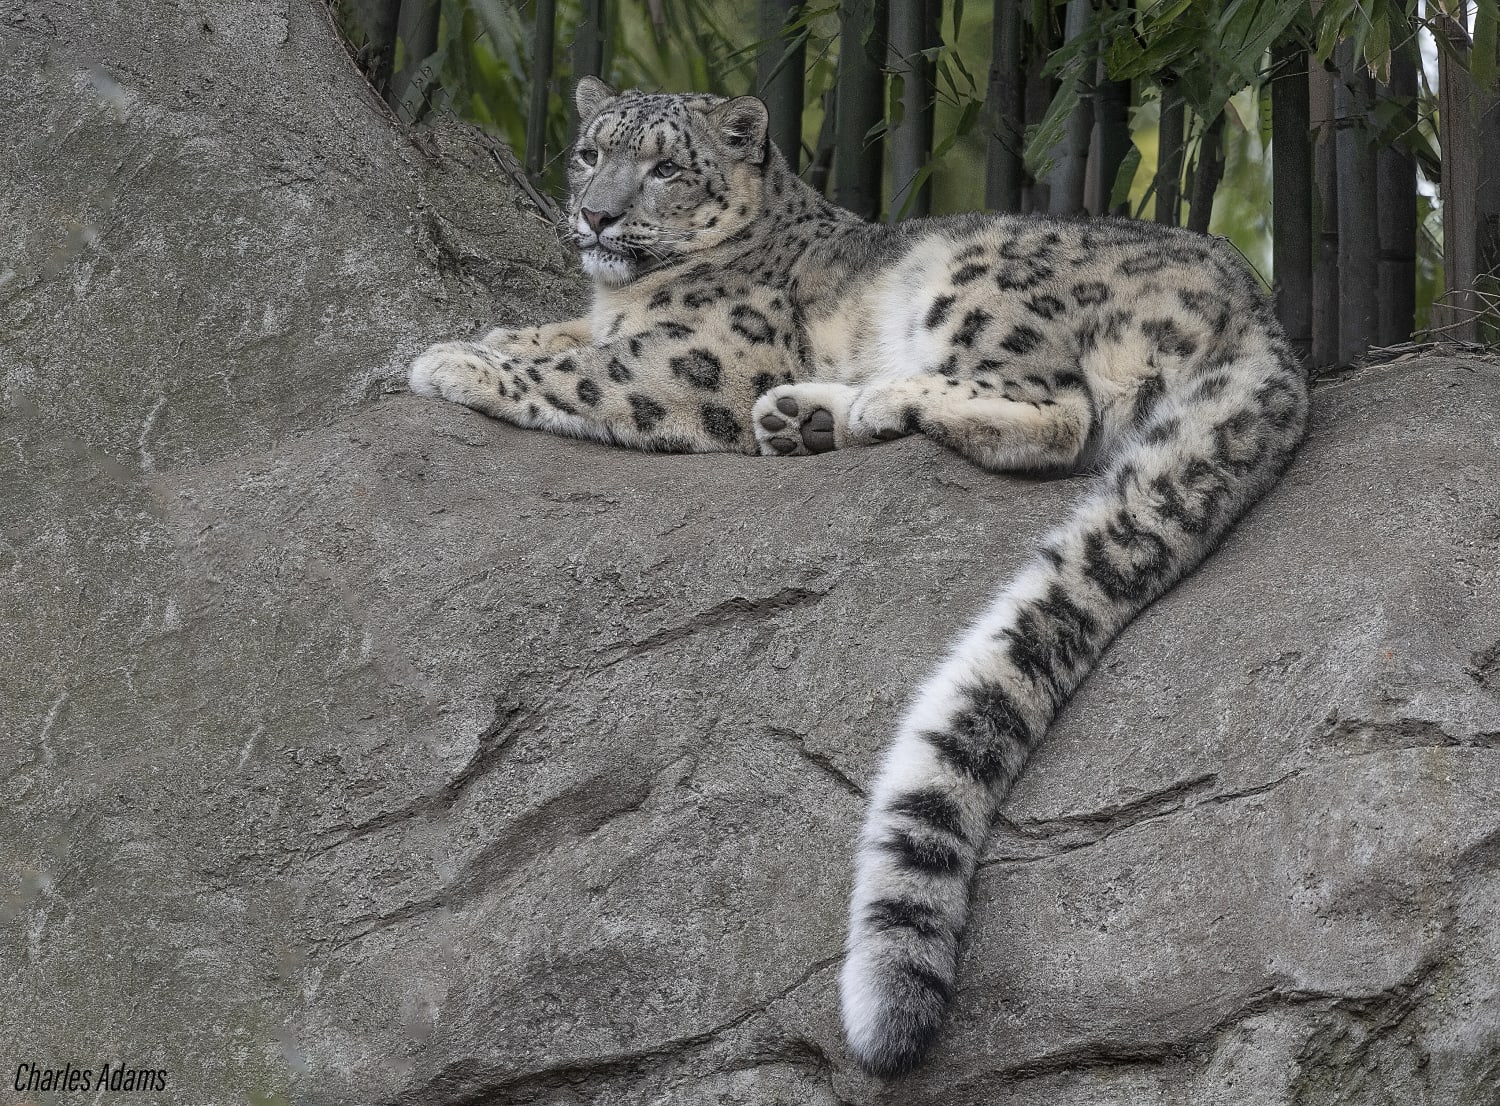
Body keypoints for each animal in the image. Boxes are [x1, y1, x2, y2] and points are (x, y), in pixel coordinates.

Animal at [408, 76, 1309, 1077]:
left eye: (667, 168)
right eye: (589, 152)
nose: (595, 215)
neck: (631, 292)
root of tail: (1261, 312)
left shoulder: (702, 358)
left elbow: (589, 367)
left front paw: (457, 360)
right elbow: (562, 331)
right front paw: (496, 331)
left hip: (983, 290)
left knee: (1060, 415)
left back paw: (875, 399)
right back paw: (805, 417)